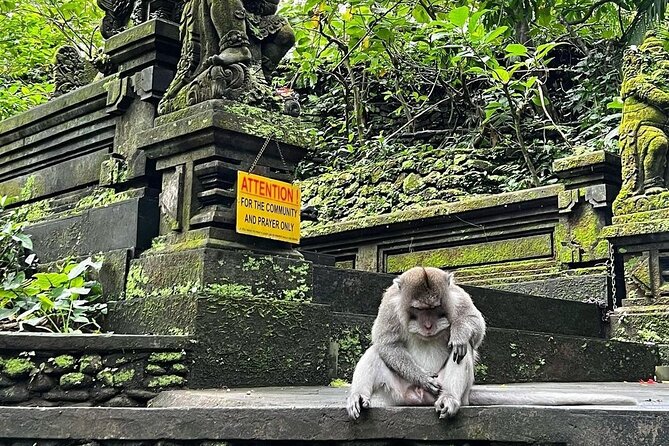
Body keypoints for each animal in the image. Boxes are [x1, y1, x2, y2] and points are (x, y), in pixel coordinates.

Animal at [346, 267, 637, 420]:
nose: (428, 326)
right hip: (398, 393)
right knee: (374, 353)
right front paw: (422, 377)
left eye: (437, 309)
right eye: (418, 310)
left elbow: (475, 326)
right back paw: (359, 396)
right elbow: (385, 342)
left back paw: (450, 399)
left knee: (461, 354)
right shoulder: (389, 304)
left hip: (453, 391)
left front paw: (460, 333)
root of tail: (419, 400)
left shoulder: (457, 296)